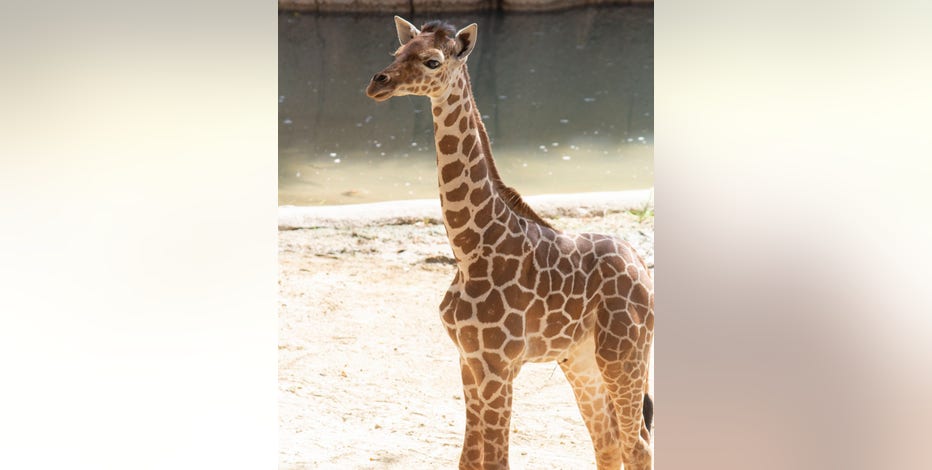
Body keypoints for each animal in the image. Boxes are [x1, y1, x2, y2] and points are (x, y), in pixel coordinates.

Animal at [366, 17, 654, 470]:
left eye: (432, 61)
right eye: (397, 52)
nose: (378, 83)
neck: (470, 248)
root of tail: (642, 267)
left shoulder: (500, 365)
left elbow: (496, 460)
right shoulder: (469, 360)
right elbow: (469, 461)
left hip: (623, 354)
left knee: (637, 442)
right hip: (581, 360)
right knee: (608, 441)